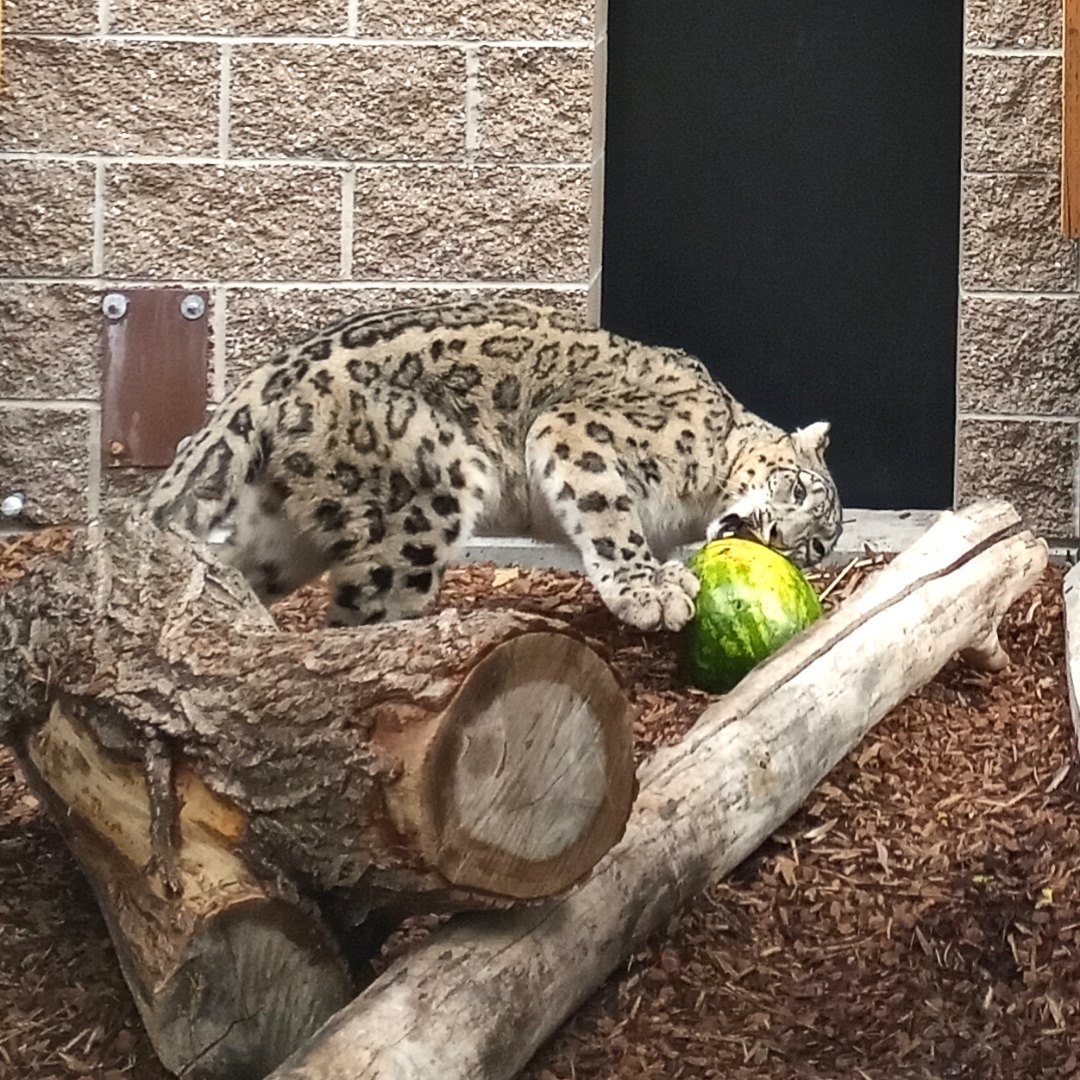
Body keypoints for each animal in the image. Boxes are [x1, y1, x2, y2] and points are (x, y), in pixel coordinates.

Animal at [146, 299, 842, 632]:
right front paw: (652, 592)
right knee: (363, 608)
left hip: (282, 533)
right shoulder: (578, 431)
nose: (774, 534)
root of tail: (263, 380)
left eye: (815, 547)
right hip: (430, 491)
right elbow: (612, 522)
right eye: (794, 487)